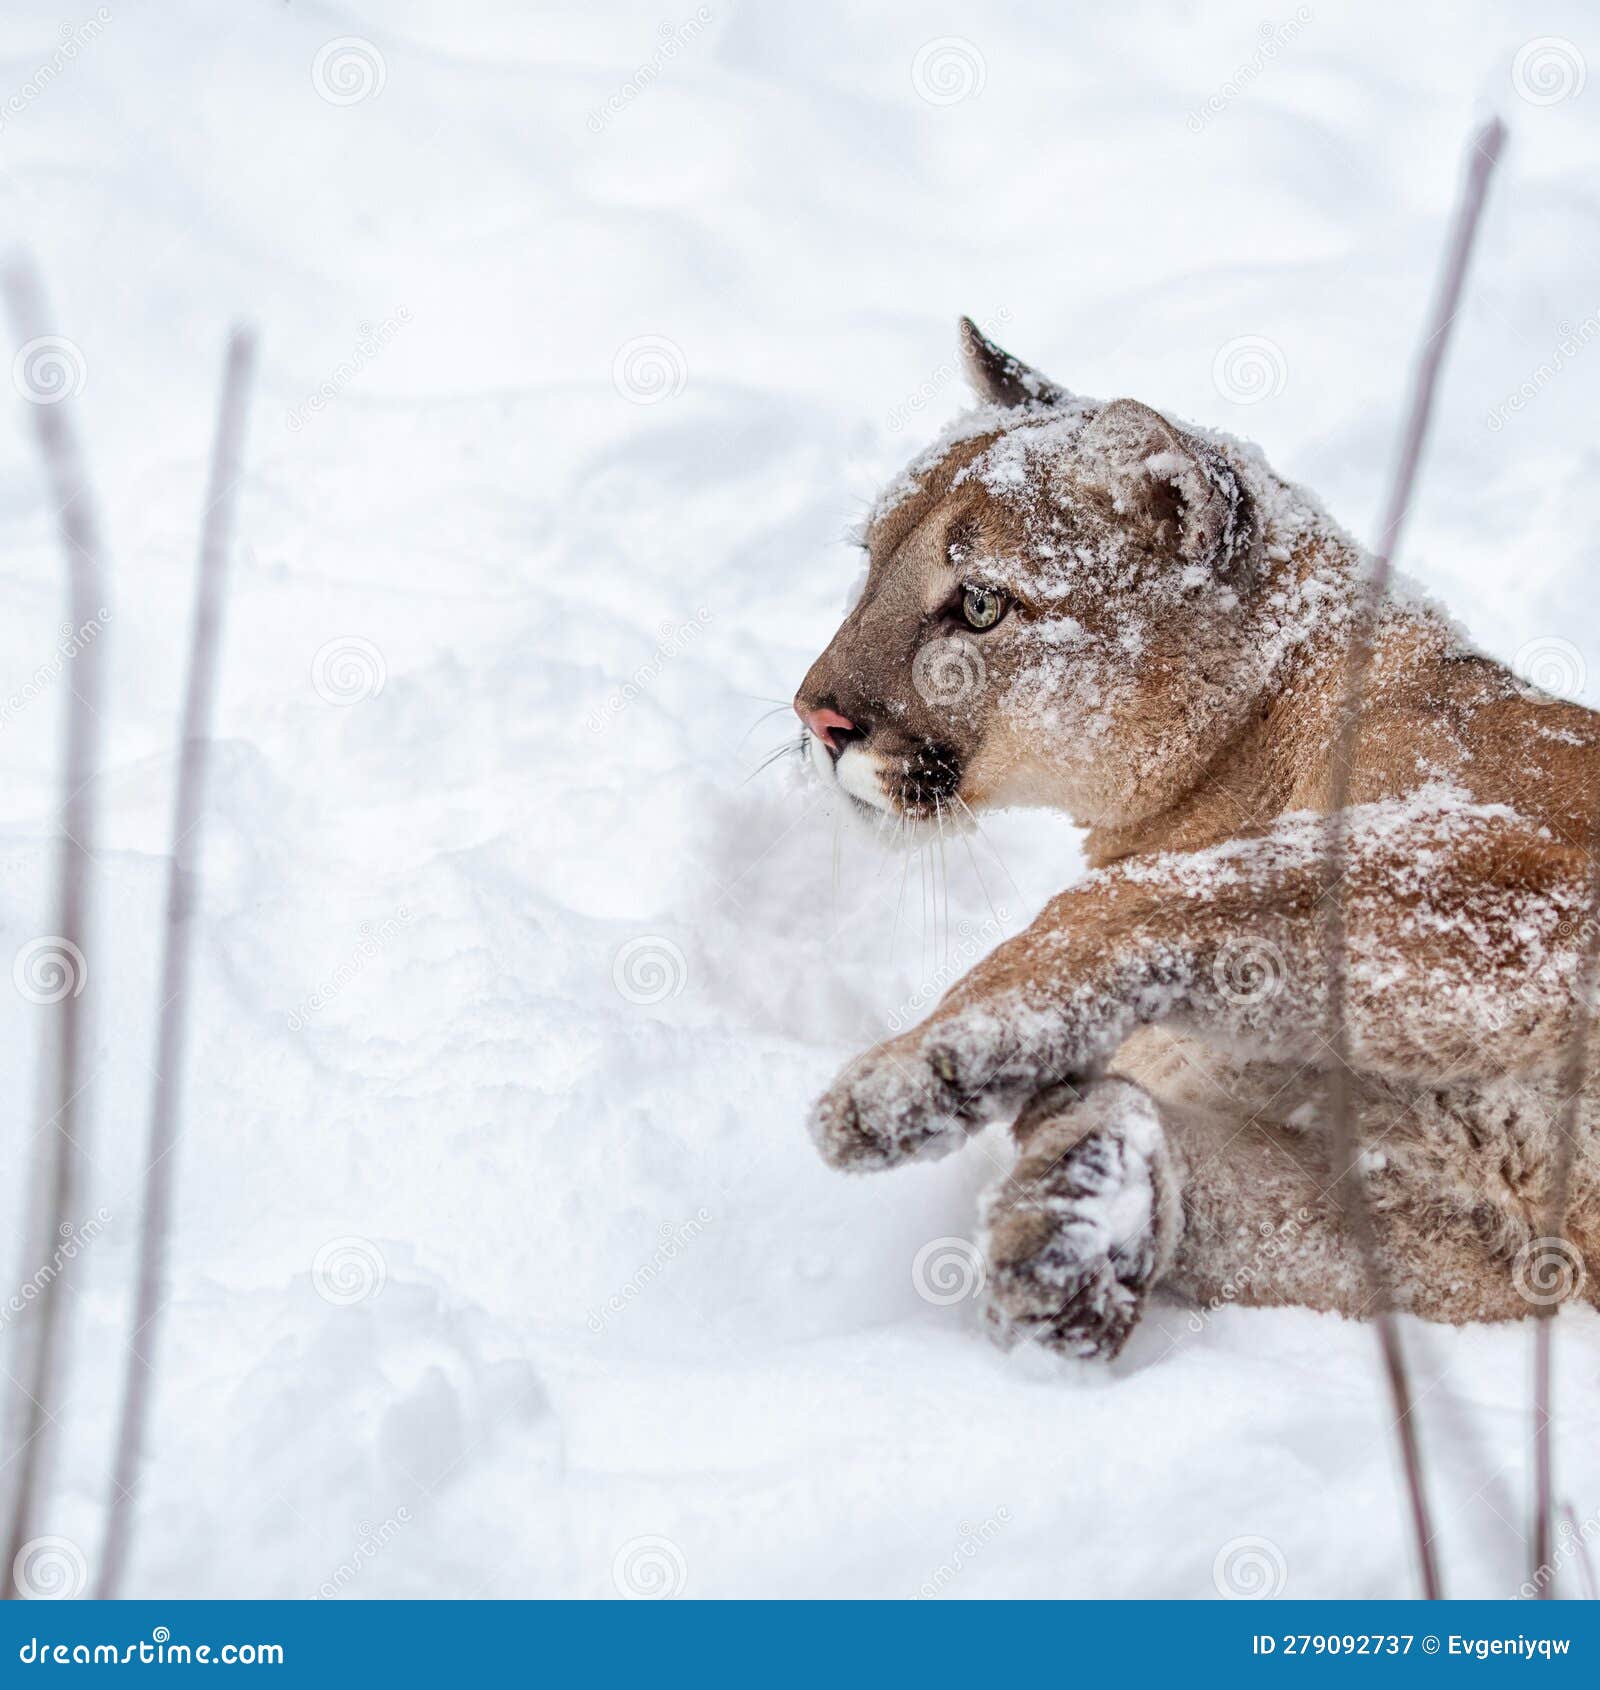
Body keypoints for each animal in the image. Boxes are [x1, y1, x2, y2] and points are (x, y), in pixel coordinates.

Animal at [793, 318, 1600, 1359]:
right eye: (869, 560)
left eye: (980, 605)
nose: (816, 717)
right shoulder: (1486, 1242)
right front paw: (1080, 1206)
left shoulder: (1530, 855)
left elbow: (1159, 892)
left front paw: (919, 1068)